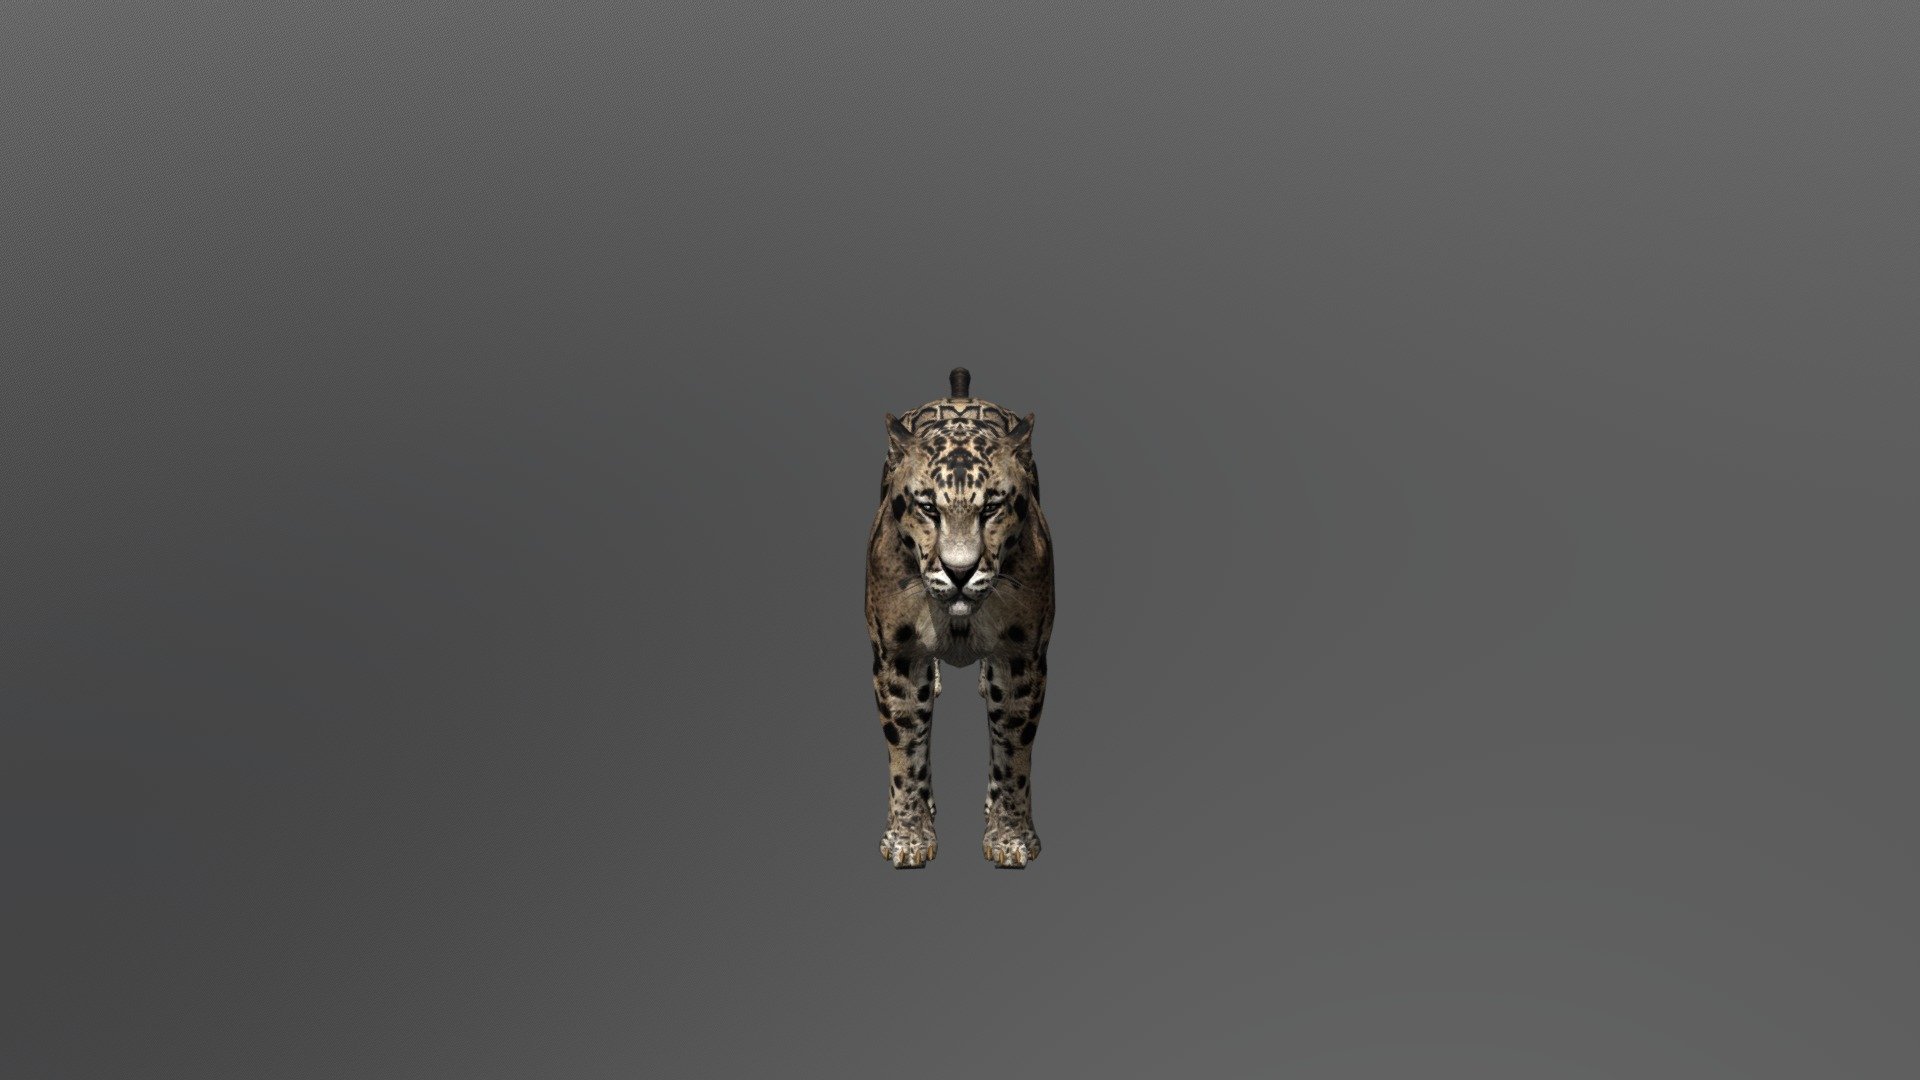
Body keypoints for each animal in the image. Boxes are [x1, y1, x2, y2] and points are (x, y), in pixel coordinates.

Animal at [865, 367, 1054, 869]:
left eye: (991, 507)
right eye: (928, 507)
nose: (960, 570)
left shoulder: (1021, 658)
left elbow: (1012, 751)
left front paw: (1010, 838)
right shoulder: (897, 657)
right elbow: (906, 747)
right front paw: (909, 838)